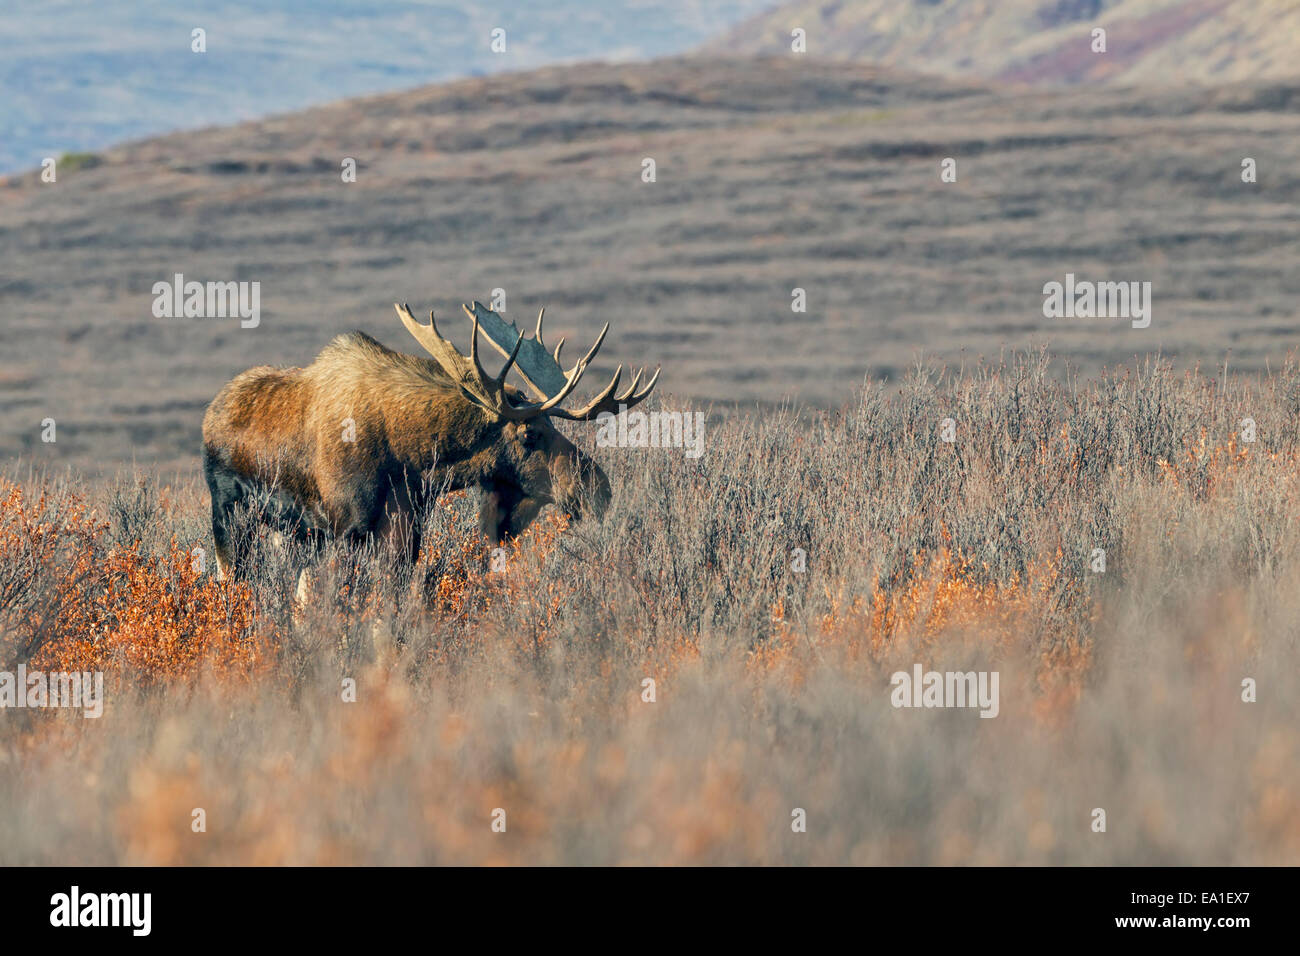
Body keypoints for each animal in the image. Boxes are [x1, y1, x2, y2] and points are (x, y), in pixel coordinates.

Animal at [201, 300, 658, 587]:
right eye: (530, 434)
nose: (598, 487)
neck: (411, 459)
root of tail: (213, 410)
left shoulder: (405, 533)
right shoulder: (344, 530)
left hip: (288, 531)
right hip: (230, 516)